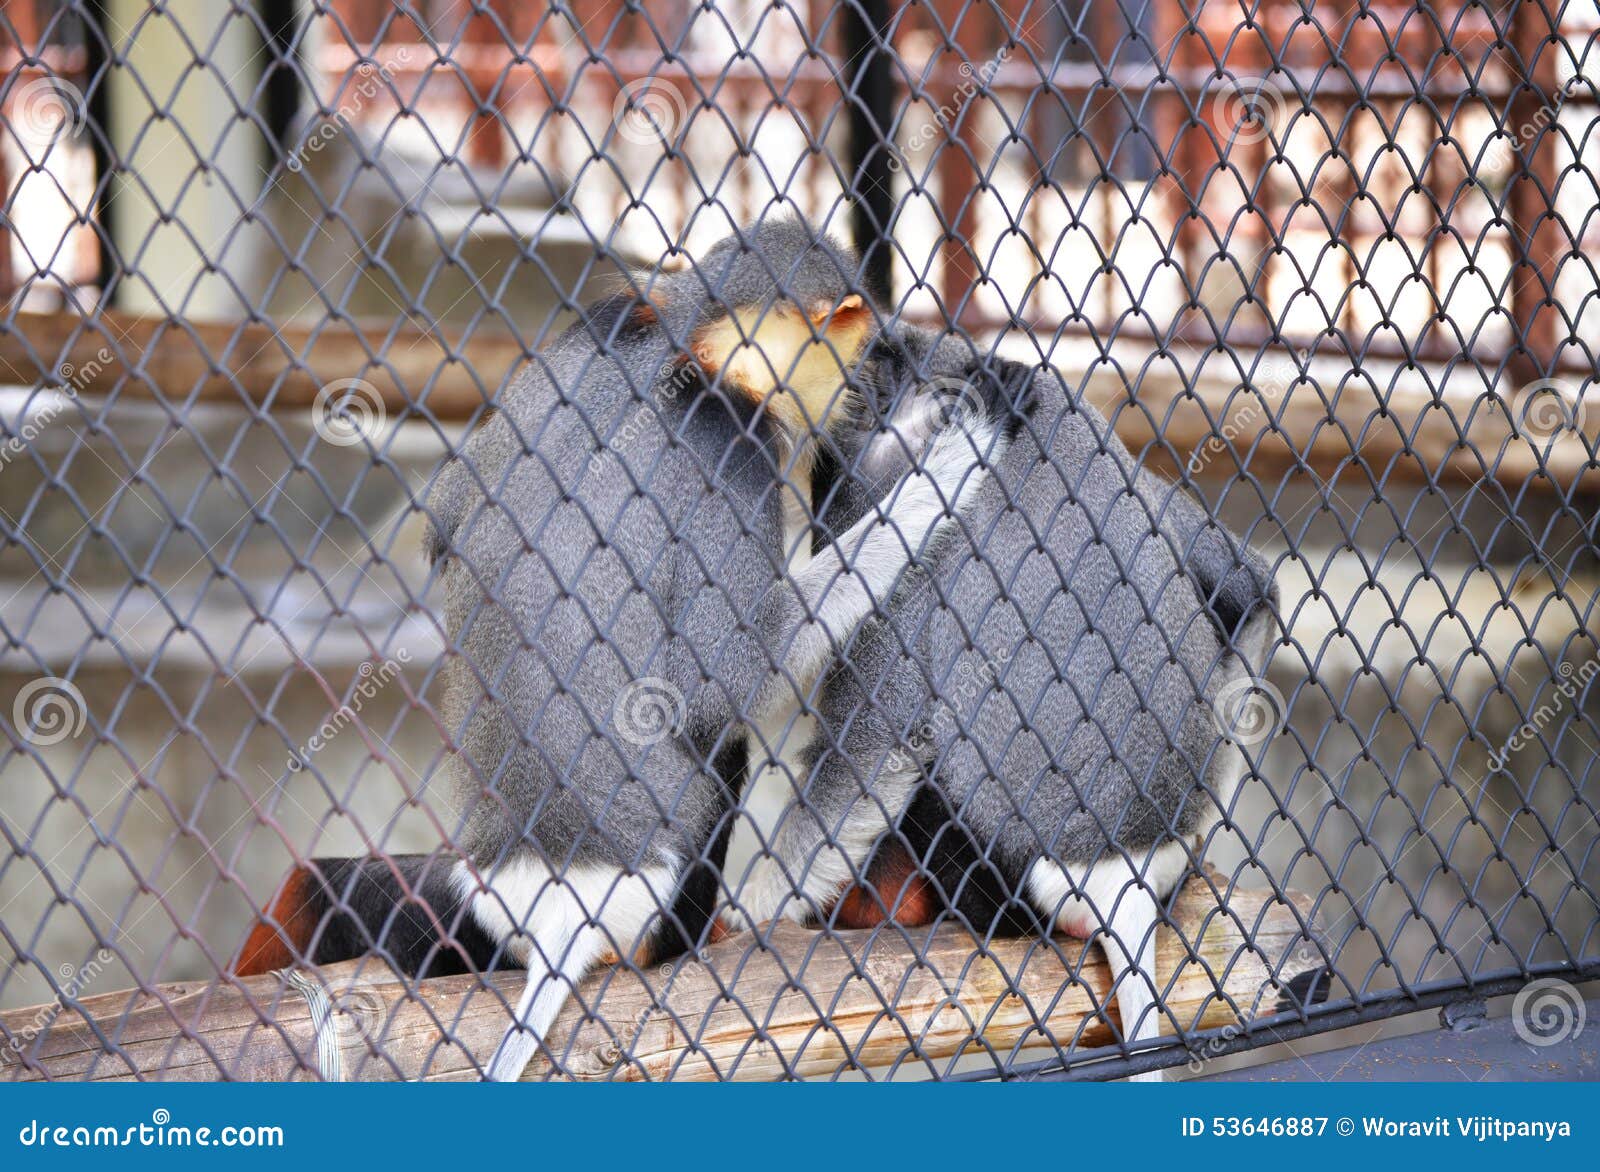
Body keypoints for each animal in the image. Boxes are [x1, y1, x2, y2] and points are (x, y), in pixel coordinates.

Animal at [233, 220, 1004, 1081]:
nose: (858, 385)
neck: (691, 351)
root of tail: (561, 902)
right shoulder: (729, 437)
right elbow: (725, 679)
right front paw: (938, 478)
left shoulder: (602, 327)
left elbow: (450, 511)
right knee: (720, 743)